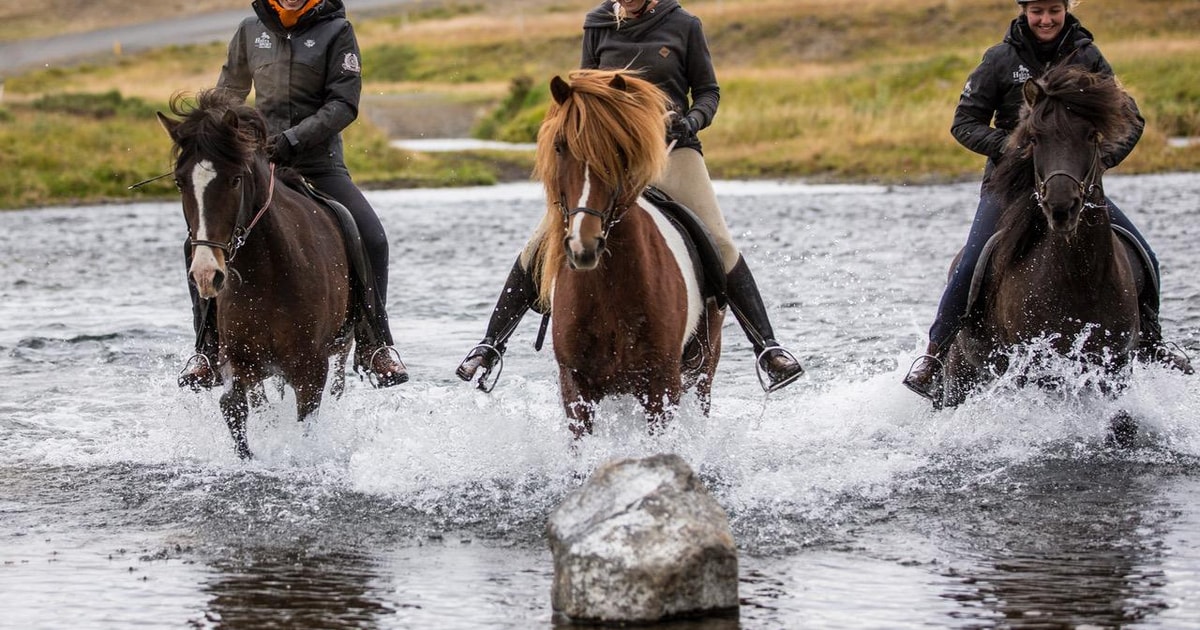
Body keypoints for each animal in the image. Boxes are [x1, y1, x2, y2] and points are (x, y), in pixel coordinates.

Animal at [158, 89, 355, 459]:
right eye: (180, 182)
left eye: (235, 179)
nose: (206, 273)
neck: (269, 273)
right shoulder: (239, 359)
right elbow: (233, 407)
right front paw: (248, 457)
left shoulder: (311, 369)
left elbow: (307, 424)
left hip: (341, 348)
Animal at [531, 69, 725, 438]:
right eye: (560, 147)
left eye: (617, 149)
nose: (584, 245)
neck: (609, 289)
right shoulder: (575, 383)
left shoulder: (662, 384)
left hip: (703, 369)